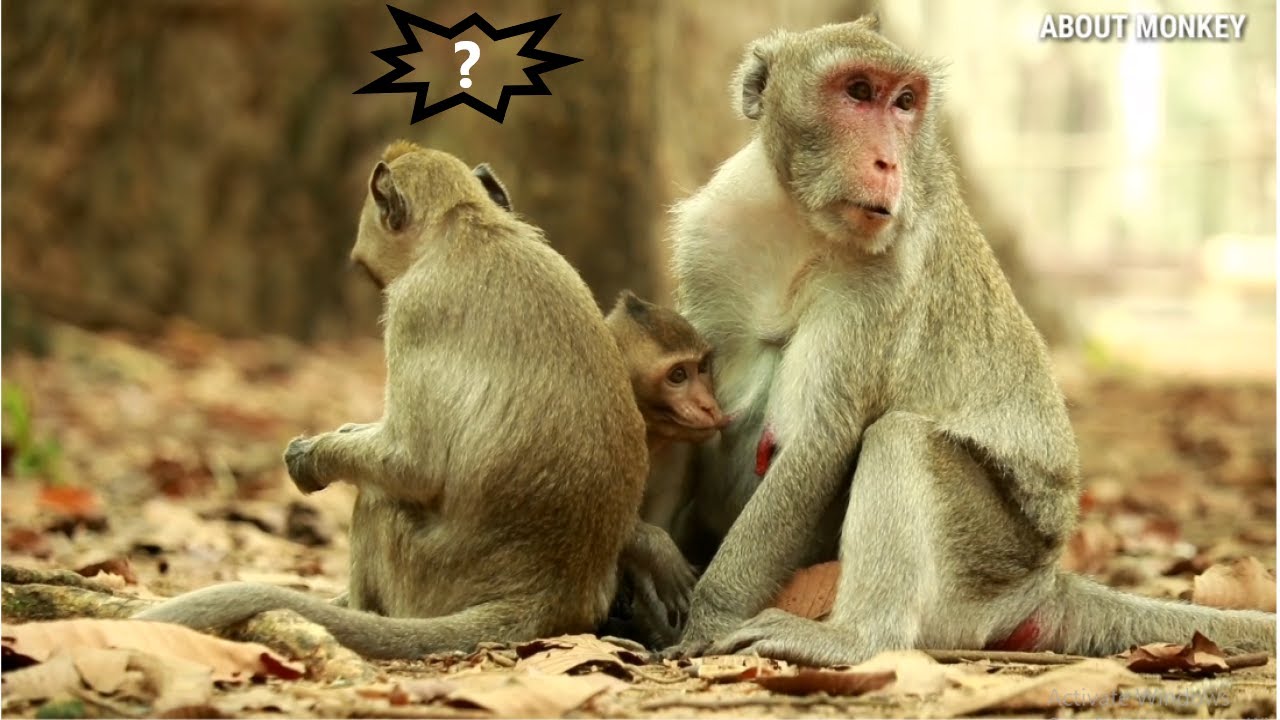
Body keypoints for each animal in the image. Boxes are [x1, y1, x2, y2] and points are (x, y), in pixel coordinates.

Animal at [135, 142, 661, 659]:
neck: (464, 223)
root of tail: (551, 592)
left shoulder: (412, 310)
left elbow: (415, 465)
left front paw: (314, 455)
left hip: (428, 576)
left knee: (378, 500)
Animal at [663, 18, 1276, 665]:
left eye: (904, 103)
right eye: (858, 91)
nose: (889, 164)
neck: (802, 221)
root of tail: (1043, 586)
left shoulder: (882, 279)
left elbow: (815, 441)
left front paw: (708, 618)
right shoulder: (713, 237)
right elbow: (694, 404)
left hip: (988, 560)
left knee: (902, 439)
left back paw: (853, 640)